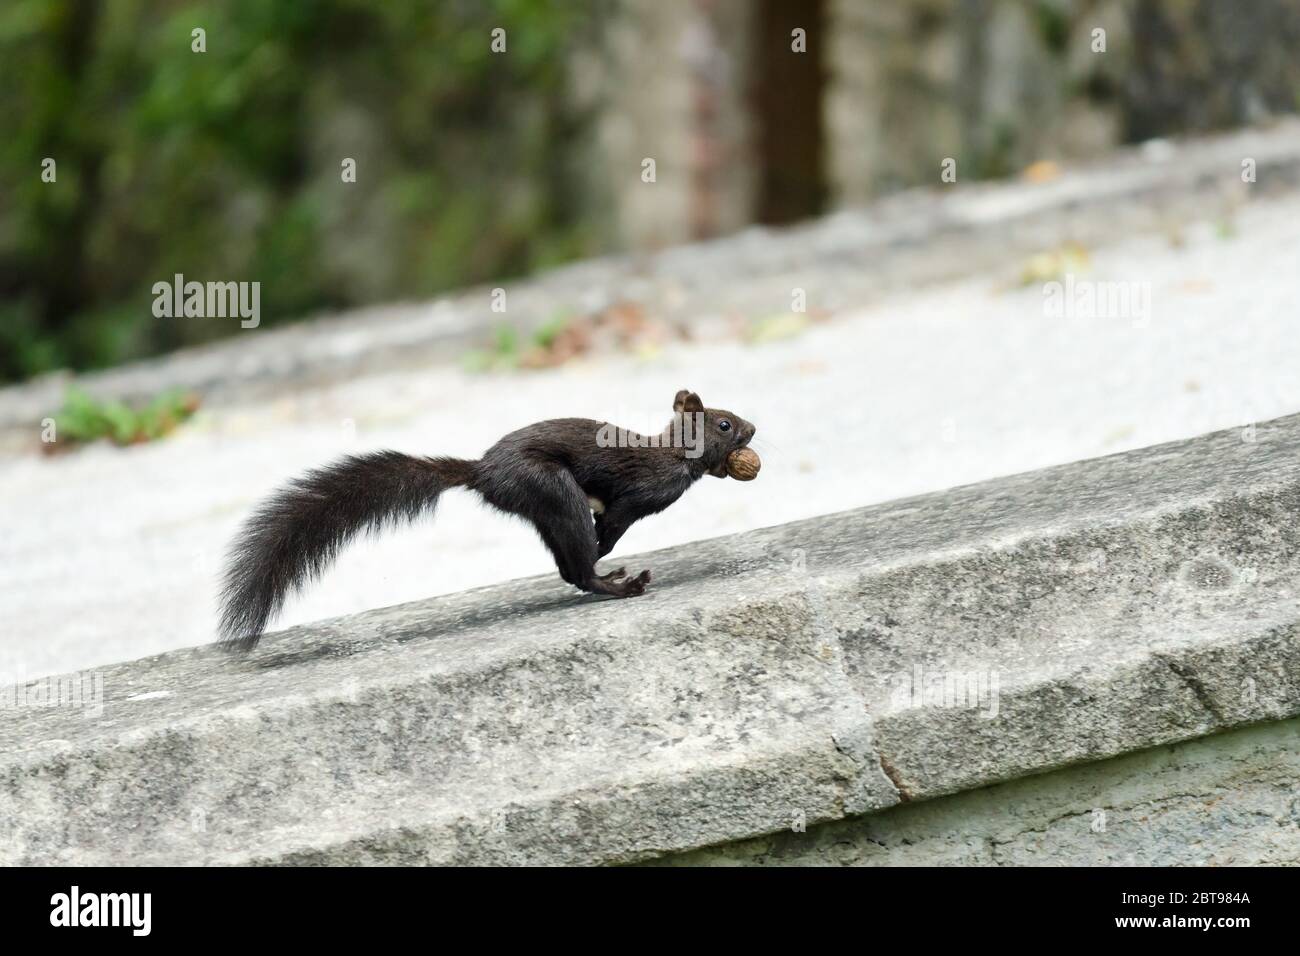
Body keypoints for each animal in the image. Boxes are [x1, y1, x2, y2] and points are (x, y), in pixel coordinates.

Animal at [217, 389, 756, 651]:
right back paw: (620, 580)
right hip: (552, 488)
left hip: (544, 507)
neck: (672, 454)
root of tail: (481, 472)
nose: (753, 428)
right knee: (579, 565)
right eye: (725, 423)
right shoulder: (639, 494)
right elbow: (617, 517)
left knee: (567, 569)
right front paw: (607, 542)